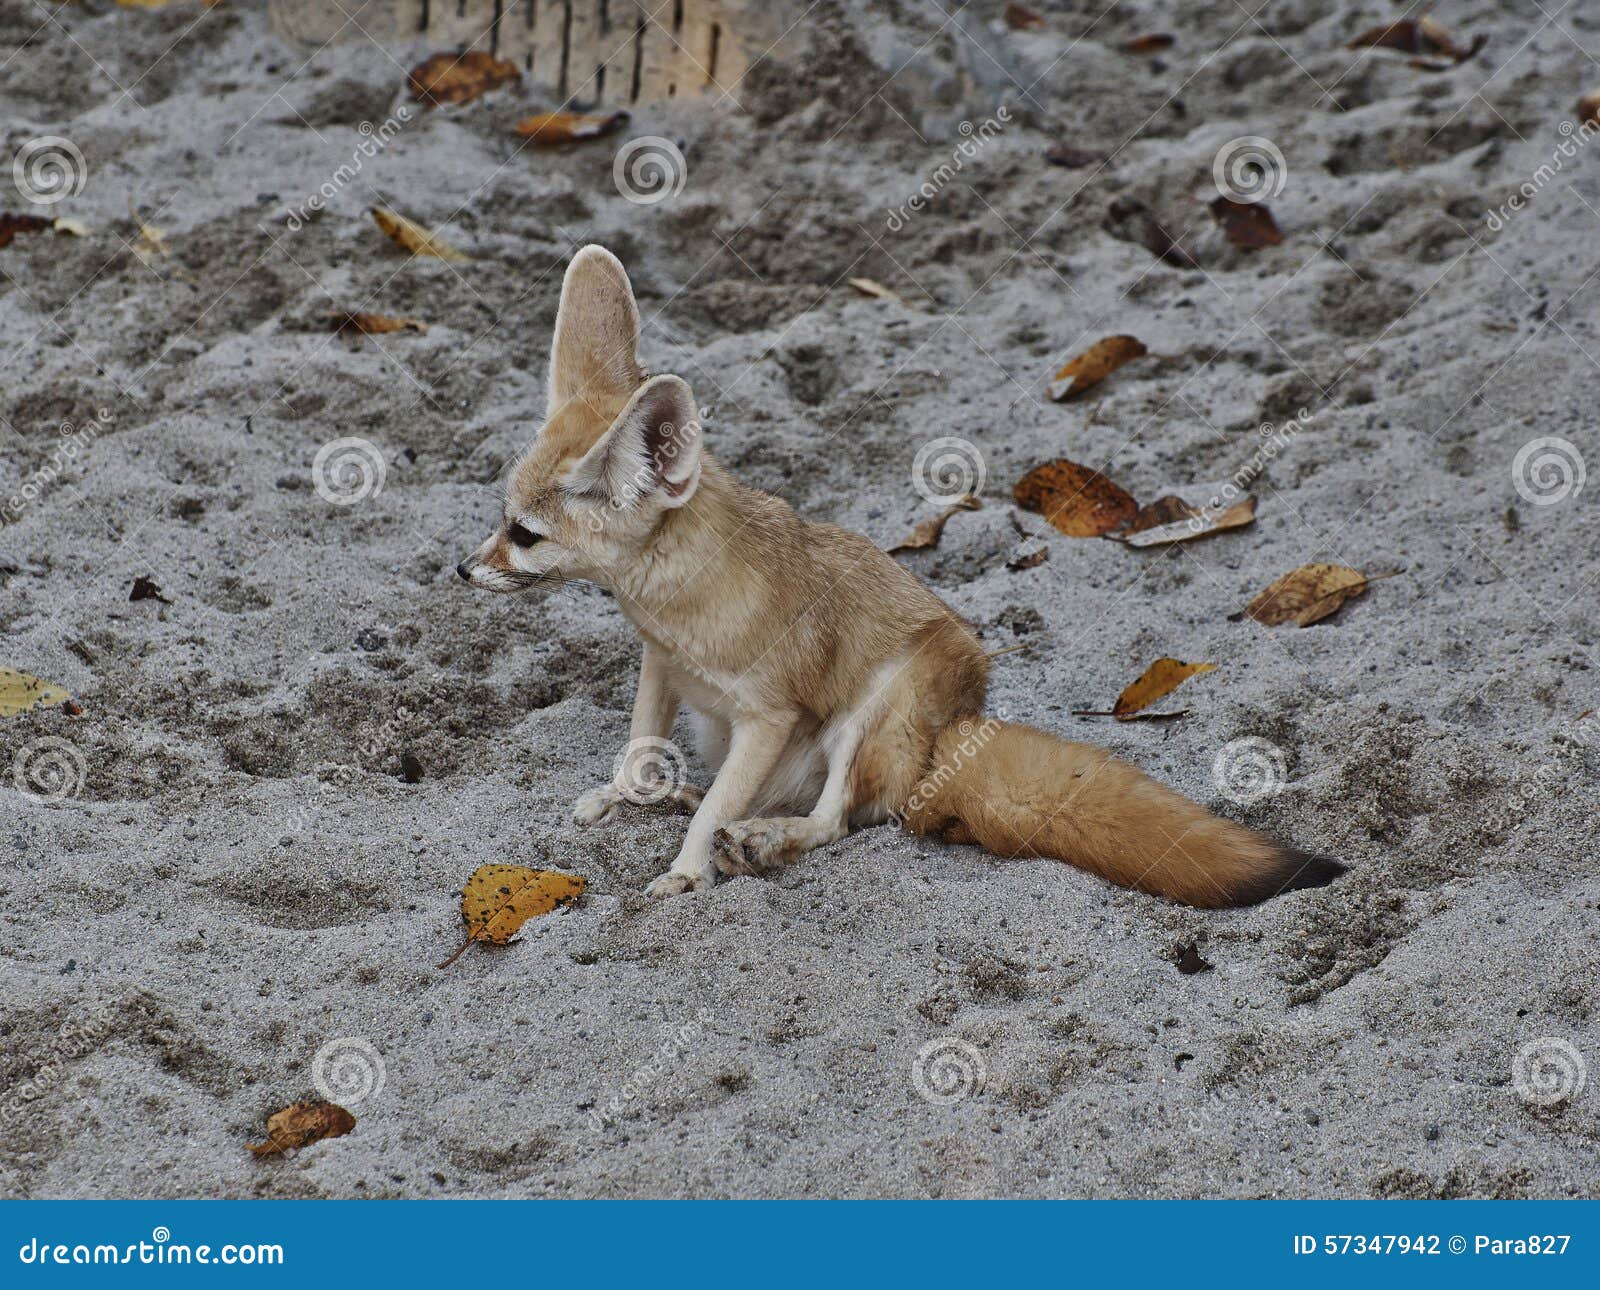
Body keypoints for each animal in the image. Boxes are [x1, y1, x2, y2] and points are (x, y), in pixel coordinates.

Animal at [457, 245, 1345, 906]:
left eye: (525, 537)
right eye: (501, 517)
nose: (463, 569)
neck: (678, 604)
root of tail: (956, 734)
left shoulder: (767, 716)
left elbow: (717, 808)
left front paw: (686, 867)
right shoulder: (662, 664)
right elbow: (641, 749)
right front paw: (628, 795)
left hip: (868, 715)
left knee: (835, 821)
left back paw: (762, 841)